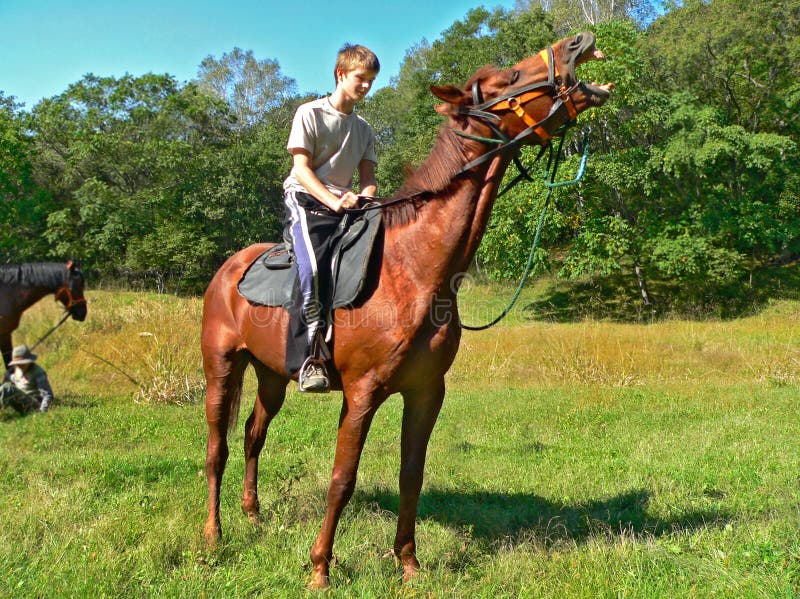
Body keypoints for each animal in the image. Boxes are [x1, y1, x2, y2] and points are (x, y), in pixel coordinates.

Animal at [201, 32, 613, 588]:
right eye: (507, 76)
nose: (577, 41)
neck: (415, 270)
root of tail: (227, 270)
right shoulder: (362, 393)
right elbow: (342, 479)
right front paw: (320, 568)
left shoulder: (425, 392)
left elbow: (411, 476)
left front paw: (410, 564)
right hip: (222, 368)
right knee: (217, 449)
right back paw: (214, 534)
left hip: (270, 375)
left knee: (251, 435)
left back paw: (252, 514)